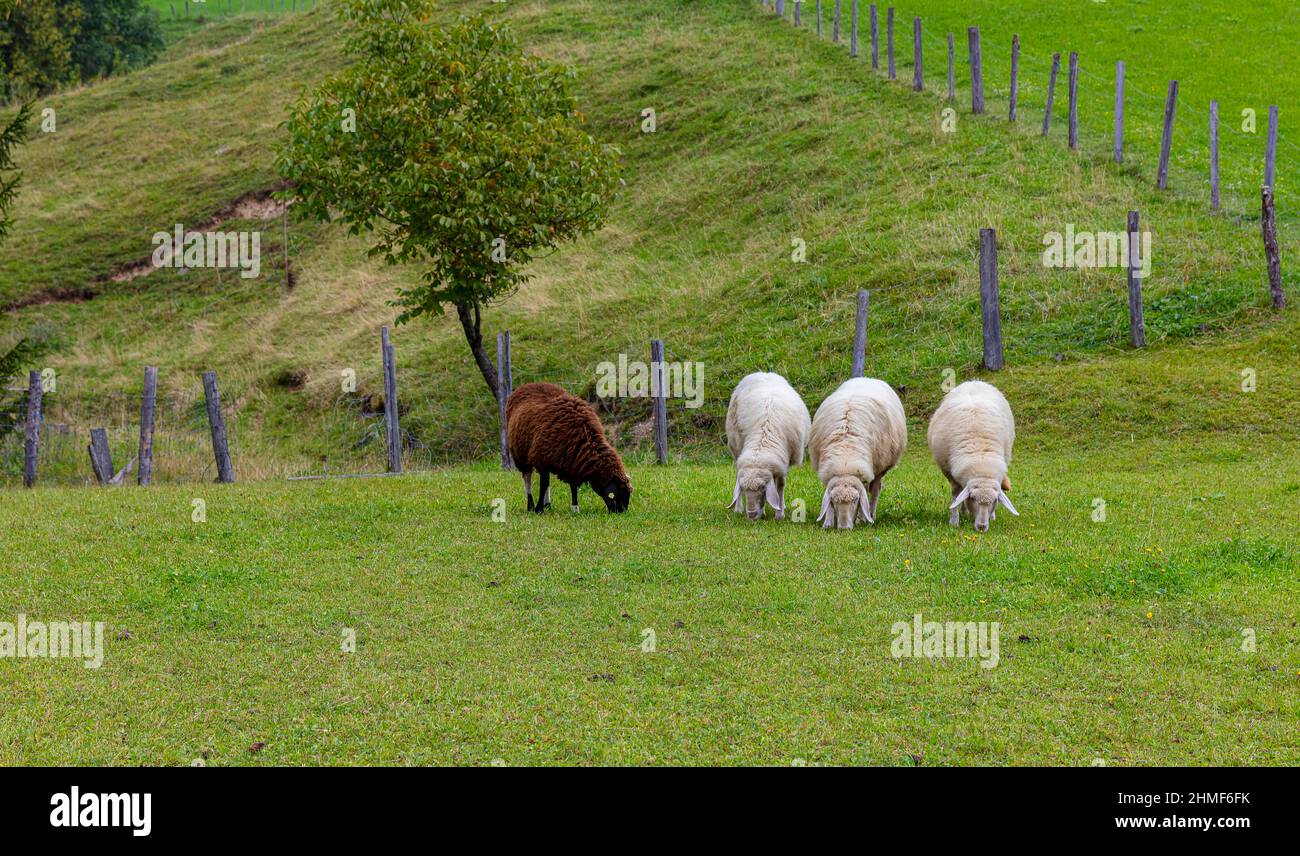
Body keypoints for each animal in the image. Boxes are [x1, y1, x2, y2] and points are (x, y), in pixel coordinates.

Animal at [505, 382, 632, 514]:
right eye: (617, 494)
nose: (620, 513)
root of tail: (529, 384)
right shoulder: (541, 459)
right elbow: (543, 485)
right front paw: (538, 509)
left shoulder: (572, 459)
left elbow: (572, 485)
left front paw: (575, 508)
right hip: (520, 454)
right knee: (528, 478)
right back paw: (531, 506)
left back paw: (548, 505)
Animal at [724, 372, 811, 521]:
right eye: (744, 489)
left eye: (763, 488)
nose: (751, 515)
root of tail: (763, 373)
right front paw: (764, 511)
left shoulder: (783, 461)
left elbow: (781, 485)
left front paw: (779, 513)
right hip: (735, 445)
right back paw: (738, 508)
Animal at [808, 378, 907, 529]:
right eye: (834, 500)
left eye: (855, 500)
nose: (844, 528)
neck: (845, 457)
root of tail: (868, 378)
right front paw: (828, 522)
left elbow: (865, 493)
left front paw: (861, 518)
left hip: (880, 467)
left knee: (875, 490)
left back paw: (870, 514)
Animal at [926, 380, 1018, 532]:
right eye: (973, 498)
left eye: (994, 500)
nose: (981, 527)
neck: (981, 459)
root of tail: (974, 381)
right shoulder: (951, 474)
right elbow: (956, 495)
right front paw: (954, 521)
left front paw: (992, 515)